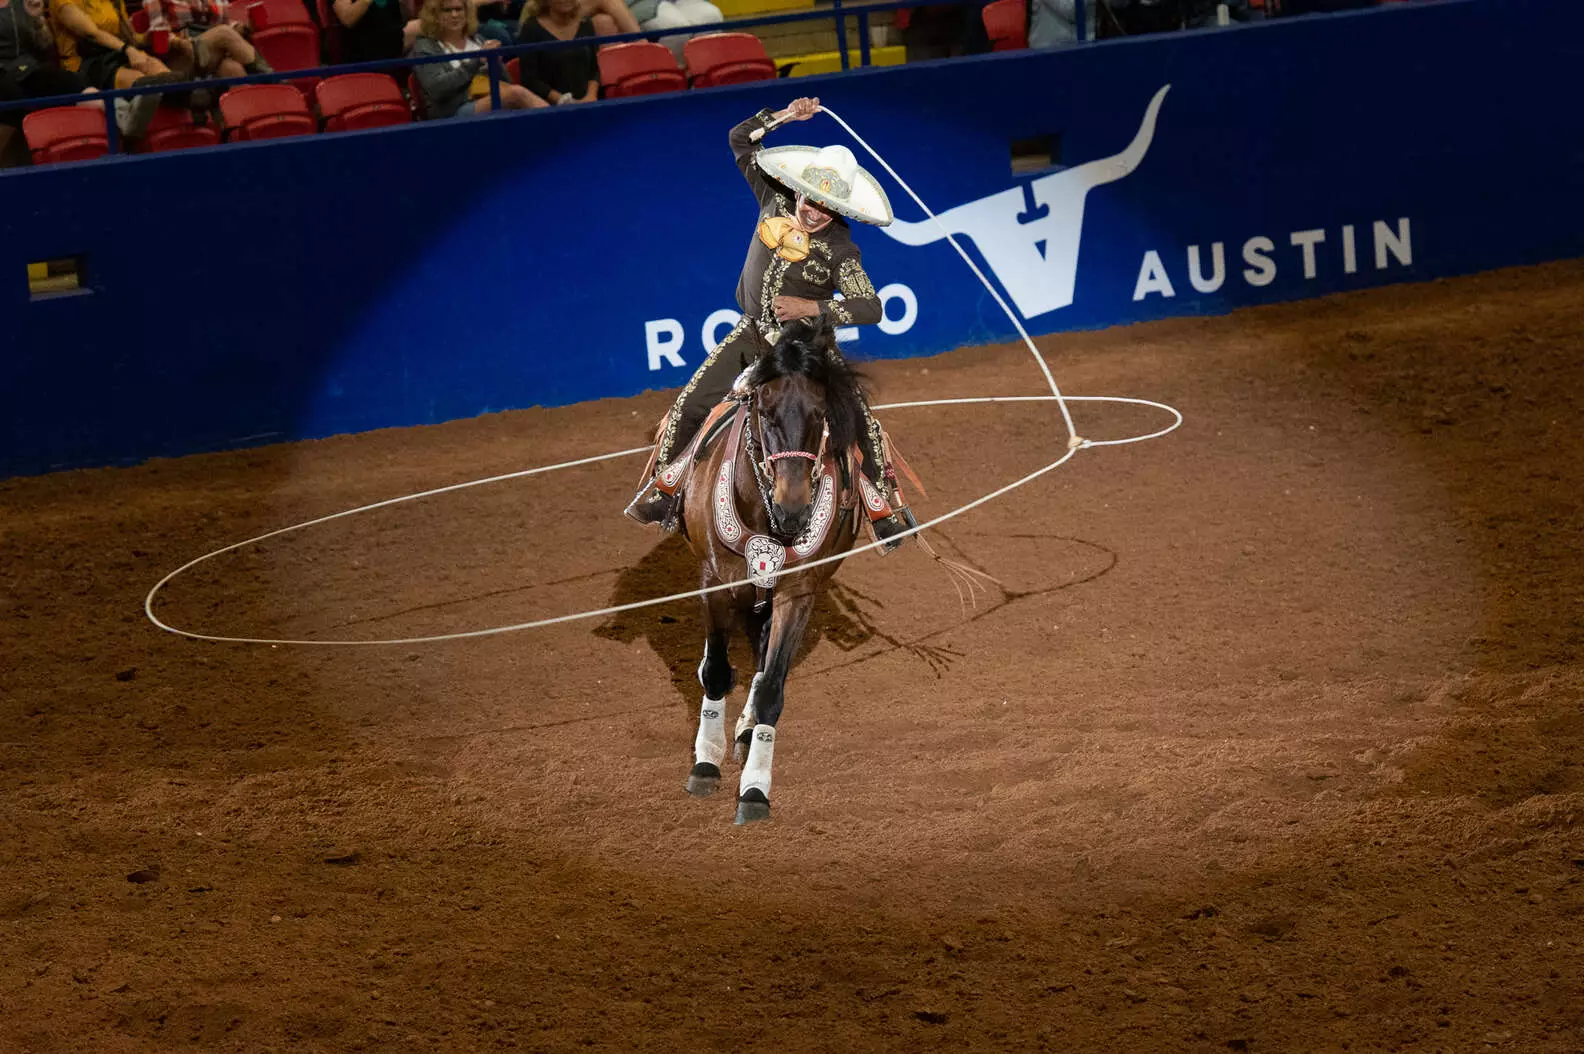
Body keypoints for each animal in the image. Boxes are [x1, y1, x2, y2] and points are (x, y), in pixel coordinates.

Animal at [668, 316, 868, 824]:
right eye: (766, 411)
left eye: (820, 414)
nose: (794, 511)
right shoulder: (715, 581)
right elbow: (718, 671)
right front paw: (705, 763)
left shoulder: (798, 592)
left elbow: (772, 688)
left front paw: (755, 788)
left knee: (761, 663)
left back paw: (743, 731)